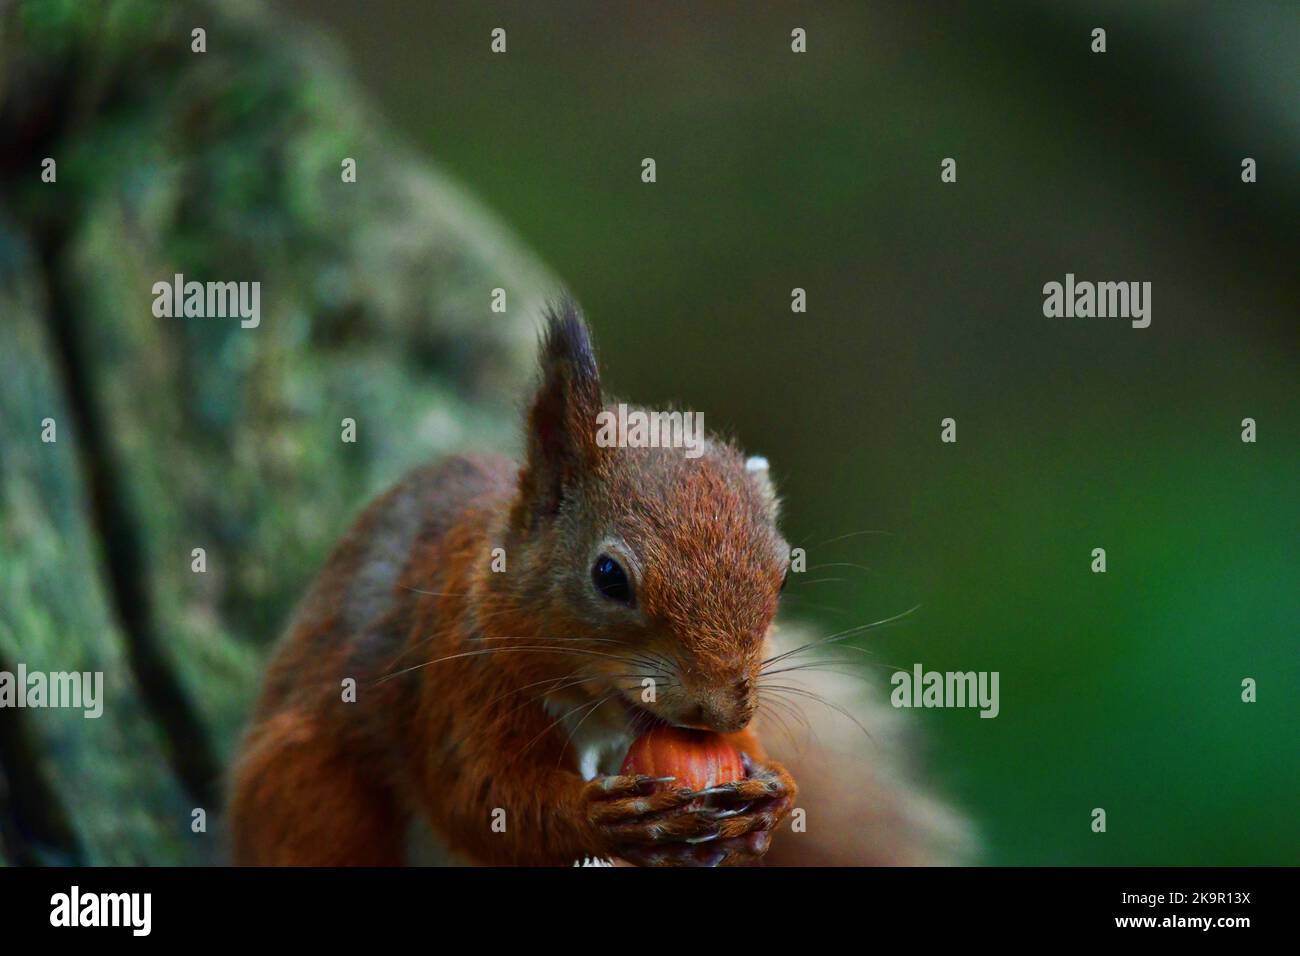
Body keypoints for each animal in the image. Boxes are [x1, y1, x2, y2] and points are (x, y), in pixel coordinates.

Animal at [229, 301, 971, 866]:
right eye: (609, 576)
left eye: (784, 578)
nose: (720, 712)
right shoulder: (458, 678)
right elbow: (482, 798)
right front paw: (606, 818)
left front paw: (775, 790)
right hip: (310, 789)